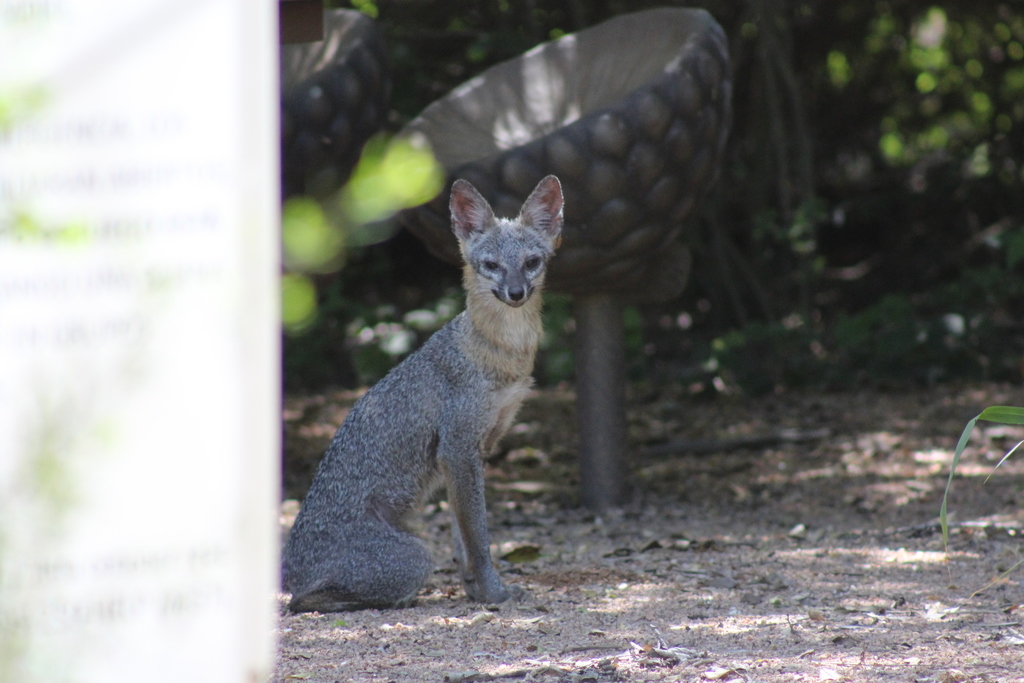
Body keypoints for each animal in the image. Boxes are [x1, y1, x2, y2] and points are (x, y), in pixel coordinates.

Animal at [282, 175, 564, 612]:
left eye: (531, 262)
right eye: (492, 266)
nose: (516, 293)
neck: (502, 354)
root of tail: (289, 568)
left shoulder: (473, 450)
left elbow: (463, 539)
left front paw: (474, 589)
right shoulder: (458, 447)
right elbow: (478, 539)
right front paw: (493, 593)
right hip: (417, 556)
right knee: (302, 600)